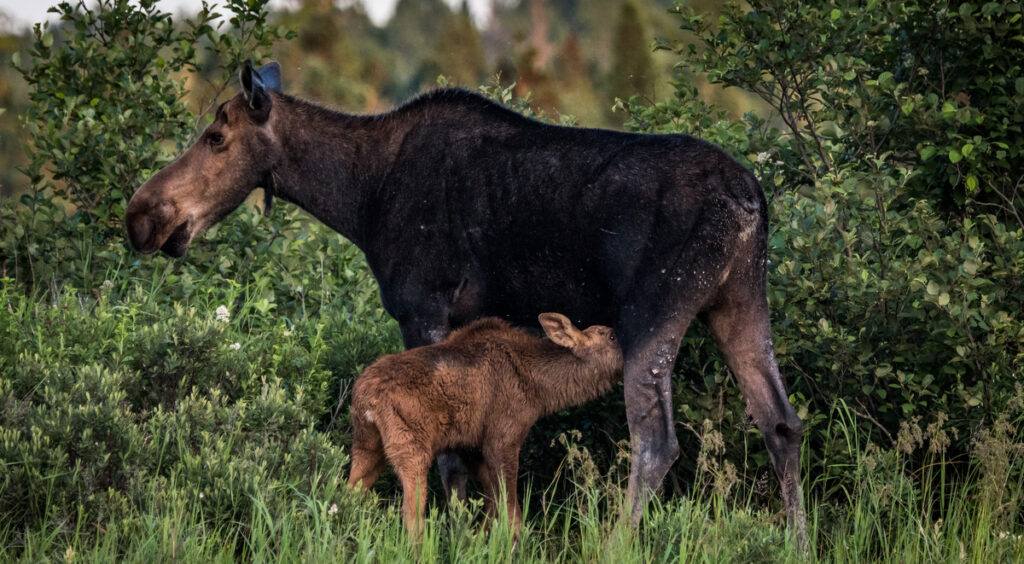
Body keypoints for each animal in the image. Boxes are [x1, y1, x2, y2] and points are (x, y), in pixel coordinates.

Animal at [347, 313, 623, 536]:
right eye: (612, 336)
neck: (540, 389)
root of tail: (365, 396)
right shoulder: (502, 438)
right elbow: (512, 513)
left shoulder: (472, 446)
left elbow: (492, 508)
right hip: (411, 447)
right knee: (412, 515)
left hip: (367, 444)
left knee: (350, 491)